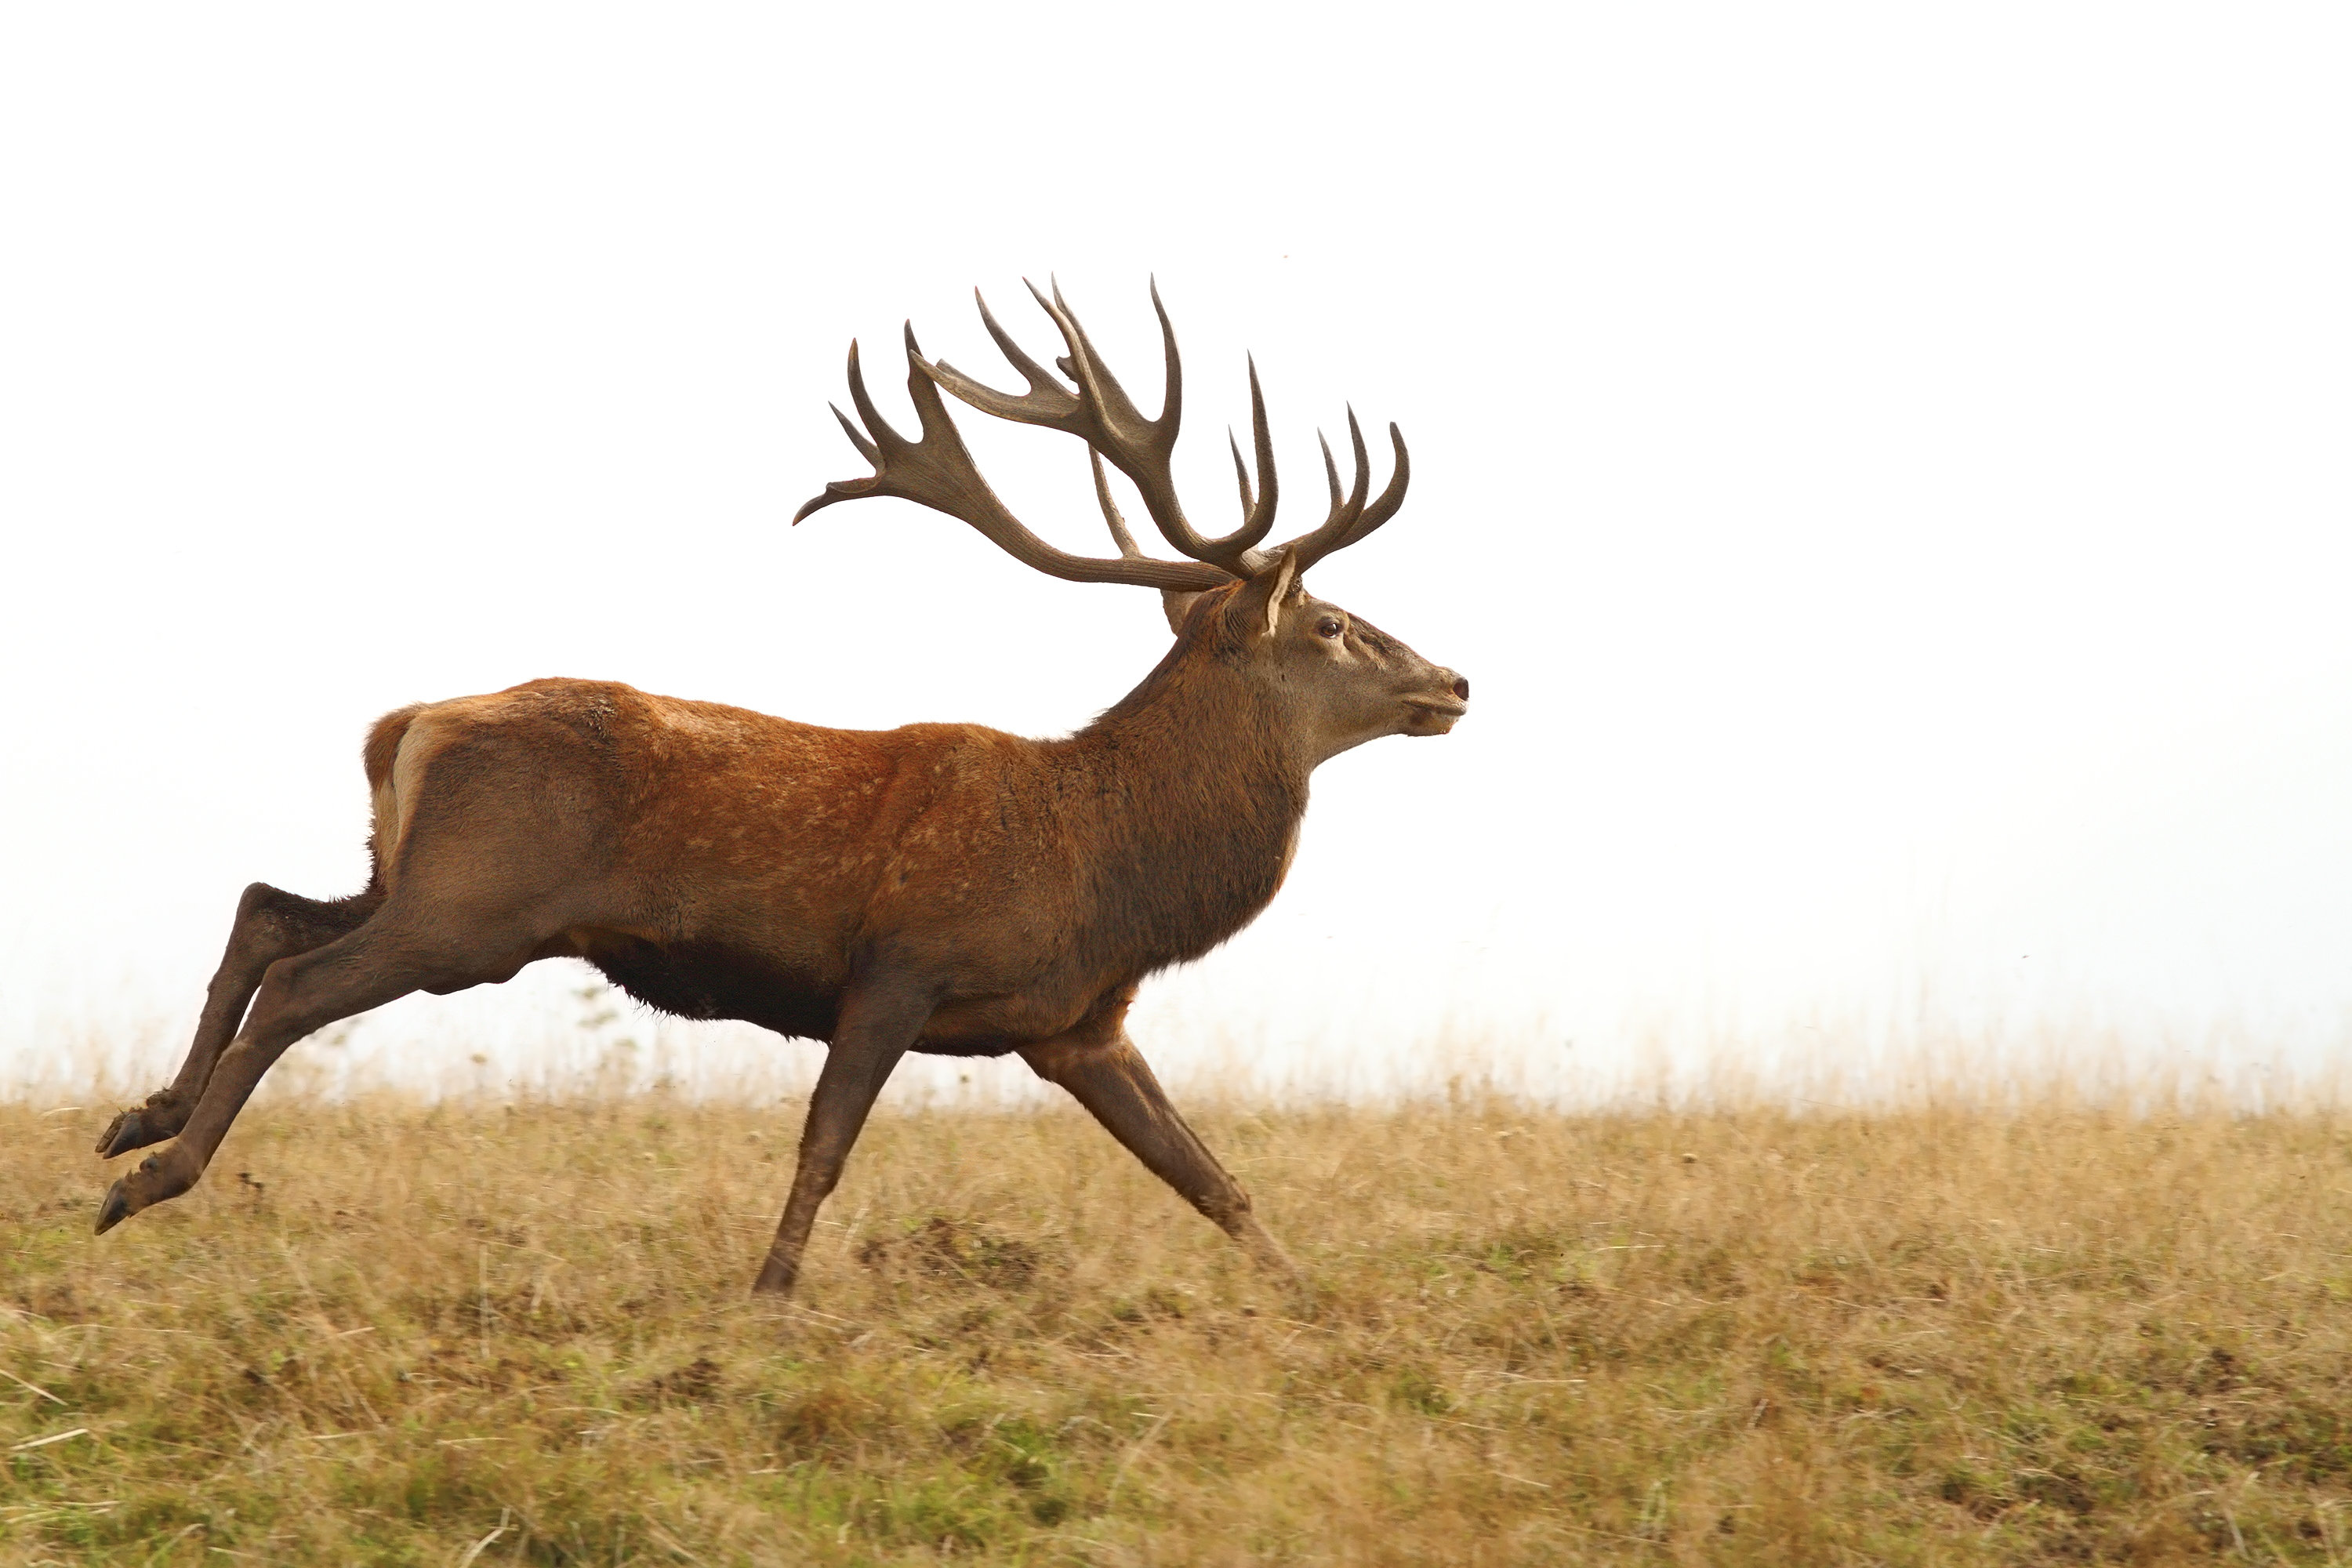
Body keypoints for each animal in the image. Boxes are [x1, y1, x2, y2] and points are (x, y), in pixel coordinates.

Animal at [91, 280, 1469, 1295]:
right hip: (472, 911)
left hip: (416, 875)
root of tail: (409, 724)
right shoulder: (901, 964)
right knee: (301, 980)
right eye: (1337, 623)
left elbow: (1212, 1179)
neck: (1102, 872)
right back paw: (146, 1178)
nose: (1454, 682)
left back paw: (139, 1118)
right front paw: (767, 1301)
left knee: (267, 908)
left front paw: (1316, 1306)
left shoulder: (1079, 1024)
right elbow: (824, 1146)